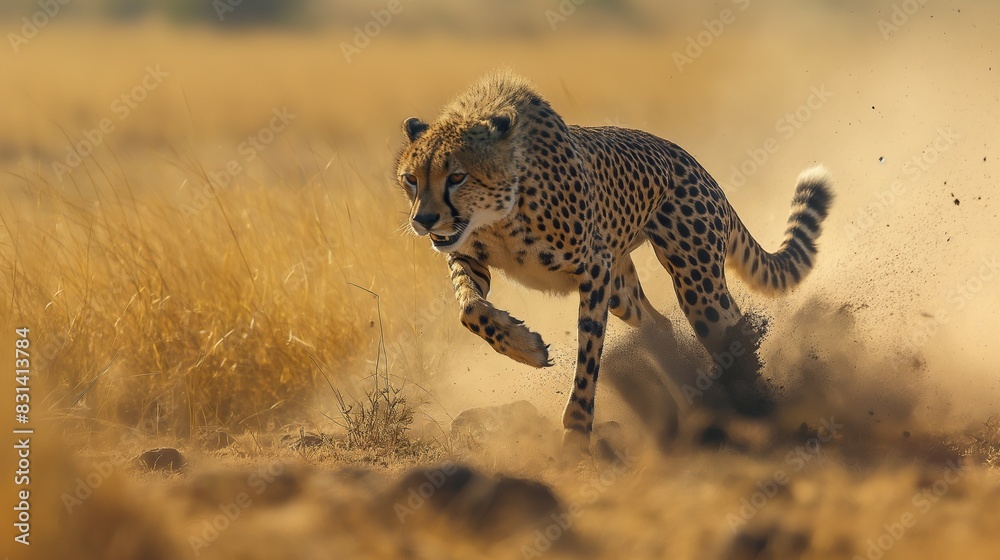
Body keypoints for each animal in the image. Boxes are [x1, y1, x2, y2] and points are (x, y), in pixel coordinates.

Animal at [394, 70, 832, 451]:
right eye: (410, 178)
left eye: (457, 177)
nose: (423, 220)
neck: (502, 213)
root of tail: (696, 165)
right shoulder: (468, 254)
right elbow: (470, 310)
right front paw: (526, 348)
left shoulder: (595, 269)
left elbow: (589, 355)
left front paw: (576, 433)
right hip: (625, 291)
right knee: (660, 325)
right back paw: (687, 400)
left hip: (697, 283)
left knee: (733, 335)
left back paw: (753, 409)